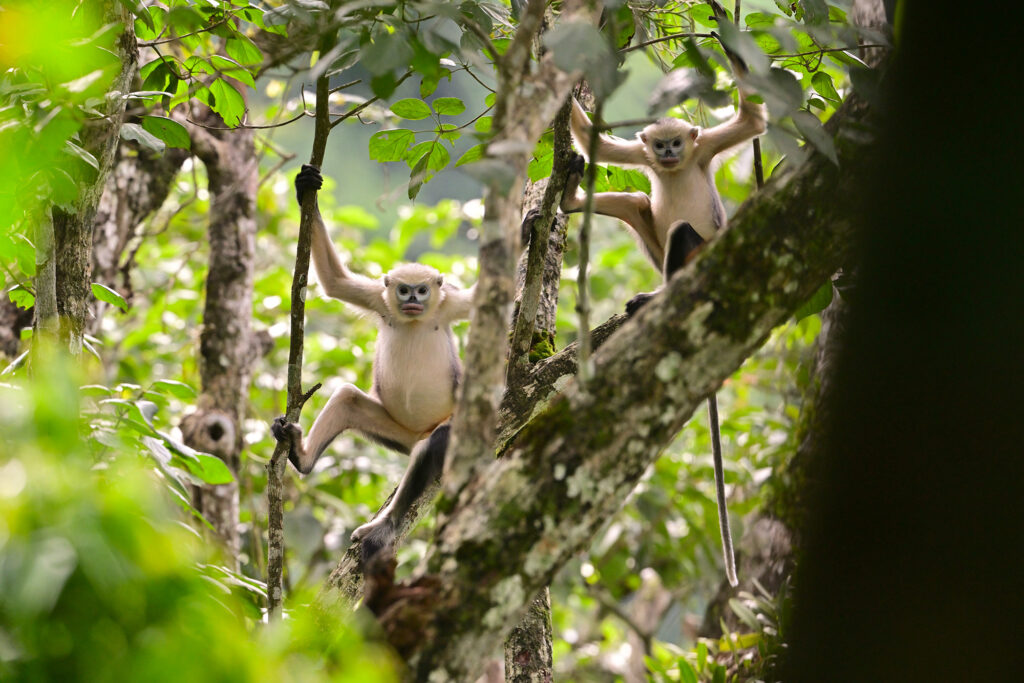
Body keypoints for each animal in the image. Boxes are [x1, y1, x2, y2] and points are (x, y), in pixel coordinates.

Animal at [271, 164, 474, 561]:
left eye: (422, 290)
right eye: (404, 290)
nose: (412, 300)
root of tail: (416, 431)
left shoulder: (452, 304)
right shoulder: (380, 301)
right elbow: (336, 283)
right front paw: (305, 187)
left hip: (443, 424)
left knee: (435, 444)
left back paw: (384, 527)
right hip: (396, 430)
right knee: (347, 398)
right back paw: (302, 456)